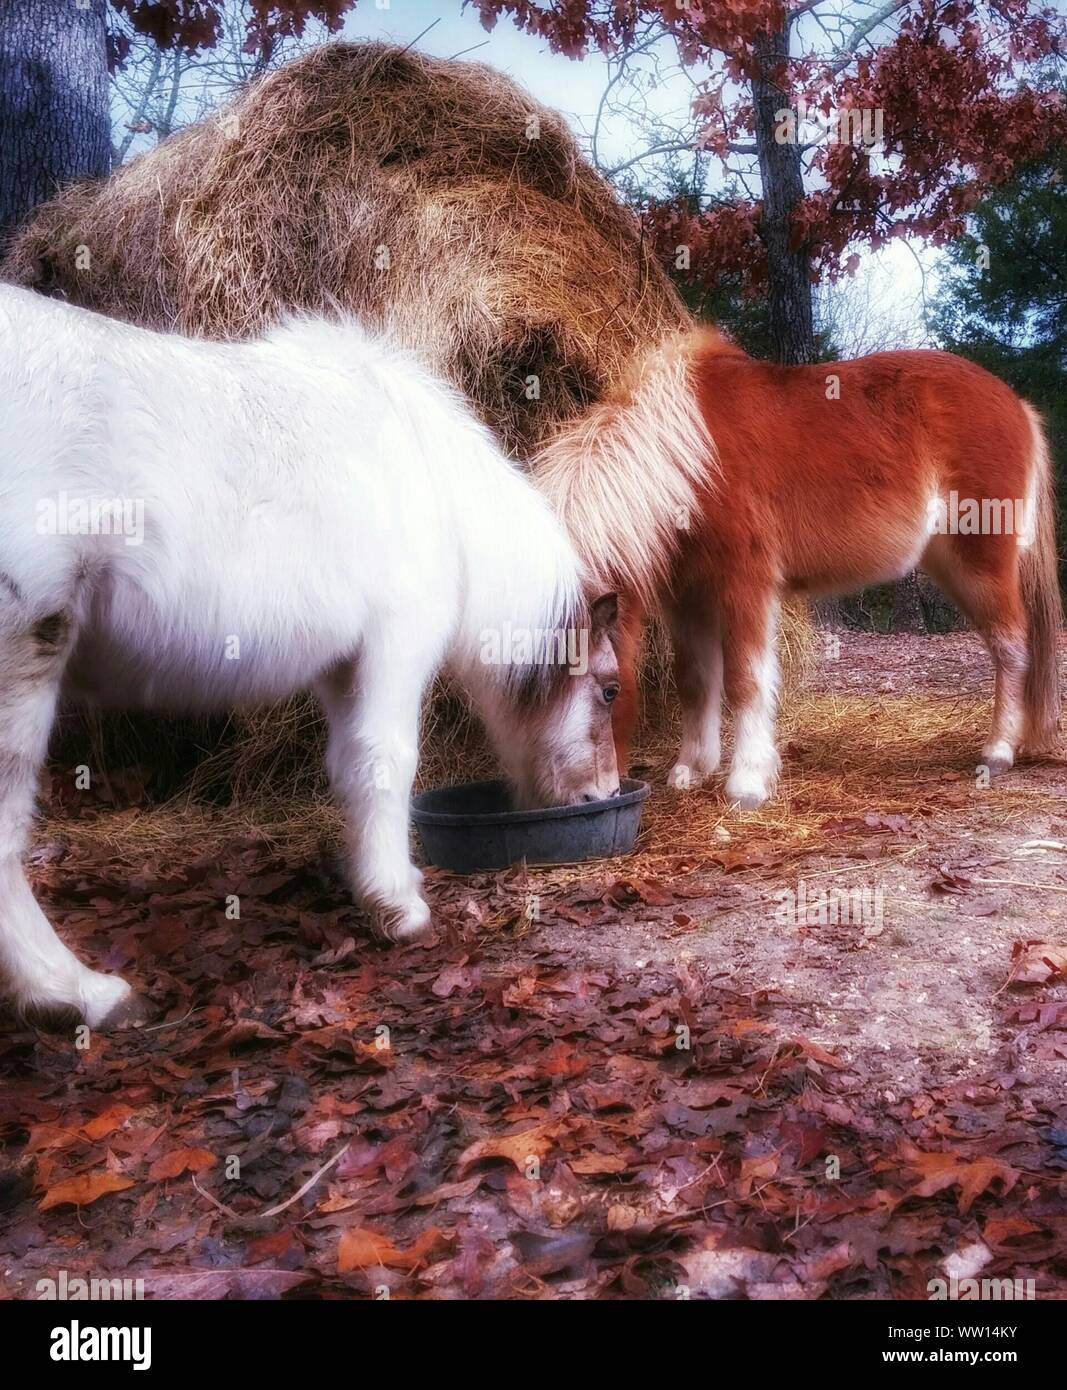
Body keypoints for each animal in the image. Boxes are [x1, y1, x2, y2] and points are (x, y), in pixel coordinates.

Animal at [0, 286, 621, 1028]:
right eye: (609, 690)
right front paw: (401, 909)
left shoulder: (340, 668)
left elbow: (351, 770)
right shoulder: (395, 644)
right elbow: (386, 763)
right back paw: (79, 992)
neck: (427, 473)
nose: (603, 794)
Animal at [535, 328, 1062, 808]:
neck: (687, 458)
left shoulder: (744, 584)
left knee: (1012, 646)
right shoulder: (687, 596)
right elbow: (695, 681)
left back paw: (998, 752)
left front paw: (747, 784)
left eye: (610, 691)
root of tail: (1018, 405)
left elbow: (745, 681)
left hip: (979, 566)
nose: (586, 796)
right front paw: (692, 769)